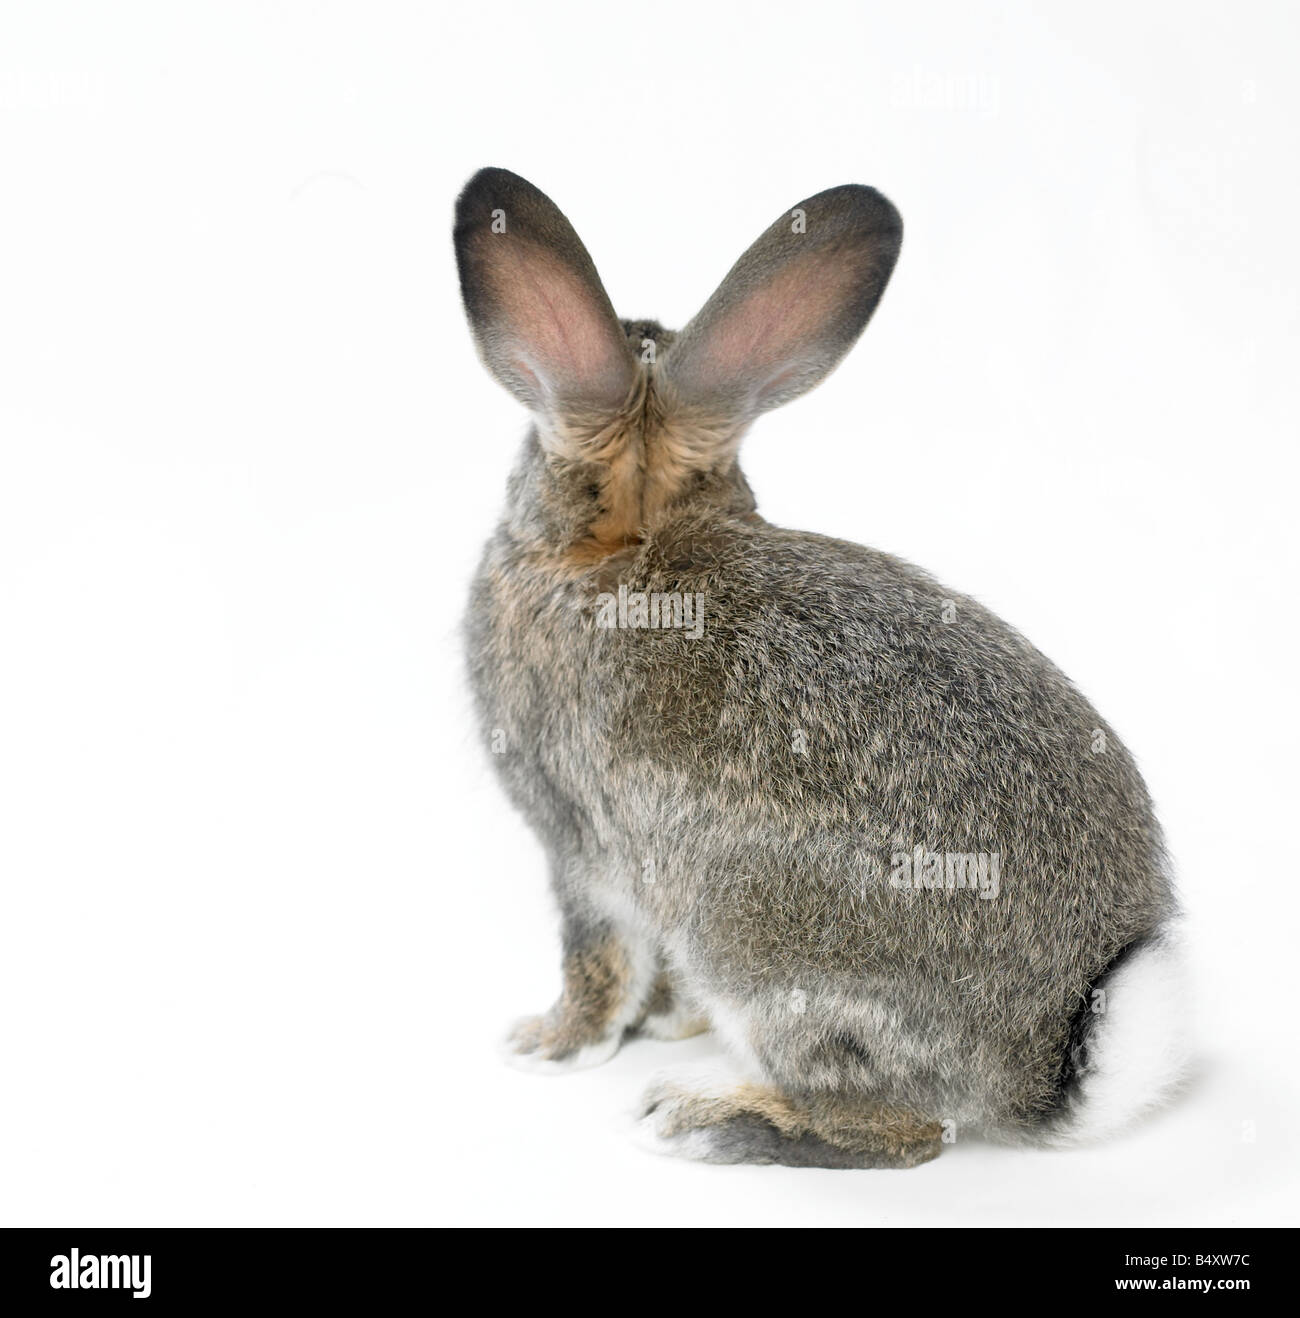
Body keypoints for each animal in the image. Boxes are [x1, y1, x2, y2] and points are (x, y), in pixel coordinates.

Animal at [455, 166, 1189, 1168]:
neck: (625, 549)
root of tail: (1042, 1069)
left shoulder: (576, 842)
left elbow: (597, 957)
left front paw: (549, 1043)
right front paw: (669, 1020)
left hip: (759, 949)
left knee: (904, 1130)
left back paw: (701, 1116)